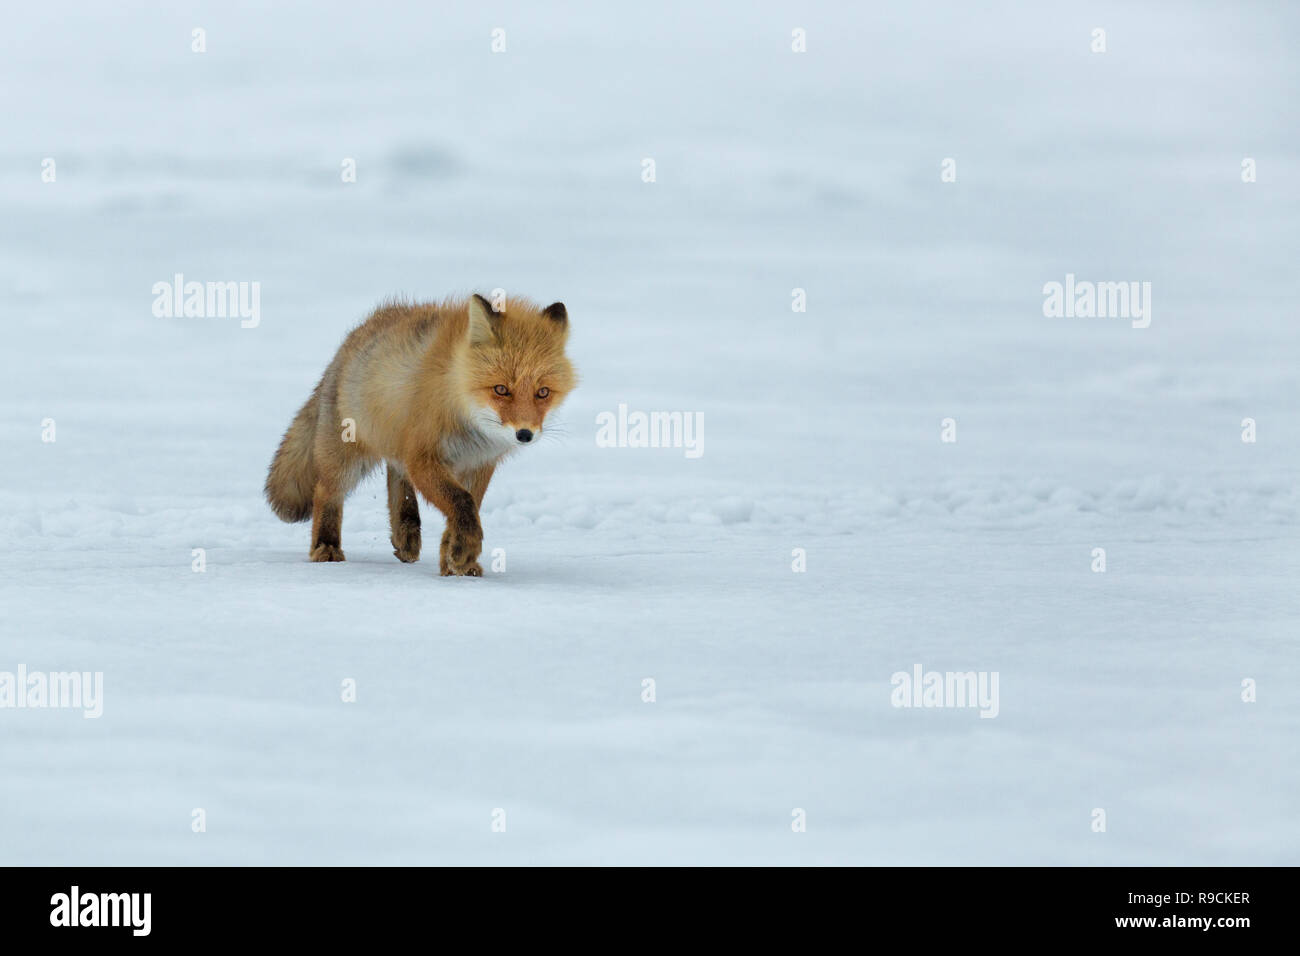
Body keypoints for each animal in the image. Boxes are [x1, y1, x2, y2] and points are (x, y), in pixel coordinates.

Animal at [265, 293, 577, 575]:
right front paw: (463, 550)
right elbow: (461, 503)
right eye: (501, 389)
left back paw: (405, 533)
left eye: (543, 393)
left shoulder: (478, 463)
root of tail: (349, 342)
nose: (525, 434)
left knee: (396, 476)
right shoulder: (424, 457)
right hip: (349, 456)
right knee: (326, 491)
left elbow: (467, 508)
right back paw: (326, 546)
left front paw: (455, 560)